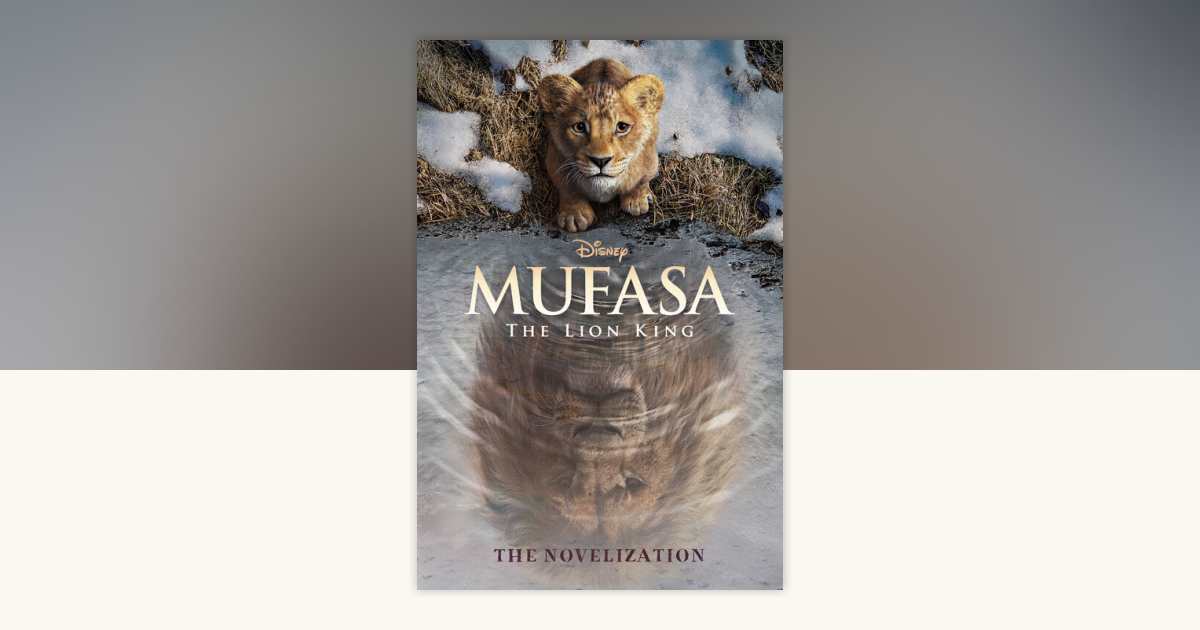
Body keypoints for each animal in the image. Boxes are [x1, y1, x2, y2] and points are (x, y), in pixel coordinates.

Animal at [538, 58, 665, 232]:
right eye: (579, 127)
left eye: (622, 127)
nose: (600, 161)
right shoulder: (554, 159)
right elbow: (567, 188)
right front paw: (574, 215)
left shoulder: (650, 158)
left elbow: (641, 180)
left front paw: (637, 200)